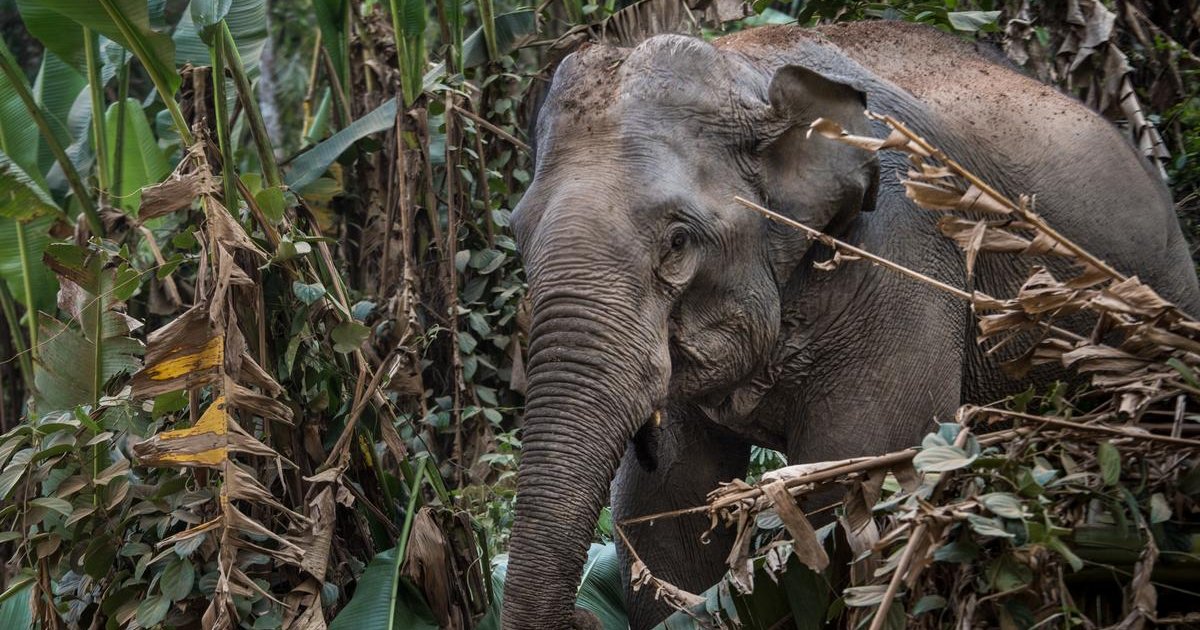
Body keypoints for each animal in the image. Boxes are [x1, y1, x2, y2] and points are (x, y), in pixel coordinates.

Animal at [500, 20, 1200, 630]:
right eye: (518, 234)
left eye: (677, 241)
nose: (584, 615)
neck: (744, 70)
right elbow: (665, 513)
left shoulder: (897, 251)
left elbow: (858, 485)